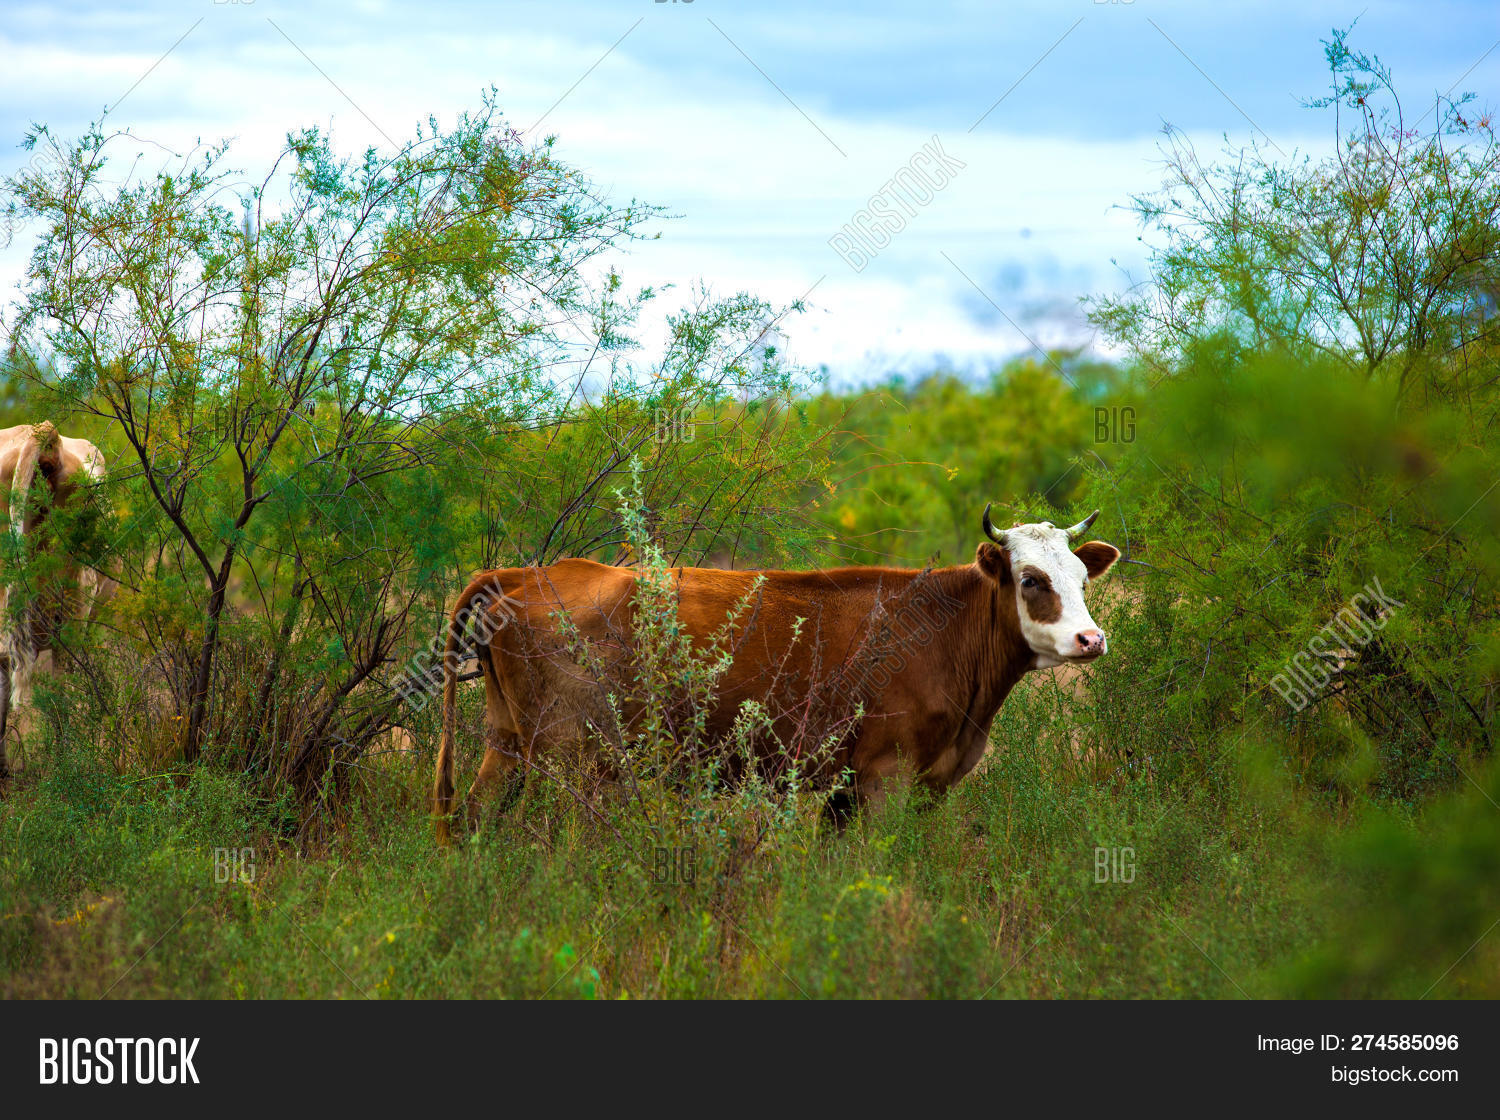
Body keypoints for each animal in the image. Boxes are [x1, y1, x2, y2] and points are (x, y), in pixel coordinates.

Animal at [432, 506, 1120, 840]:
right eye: (1031, 580)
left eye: (1083, 579)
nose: (1091, 638)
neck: (943, 632)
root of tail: (527, 574)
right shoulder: (888, 776)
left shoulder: (887, 784)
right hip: (570, 754)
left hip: (506, 740)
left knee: (474, 816)